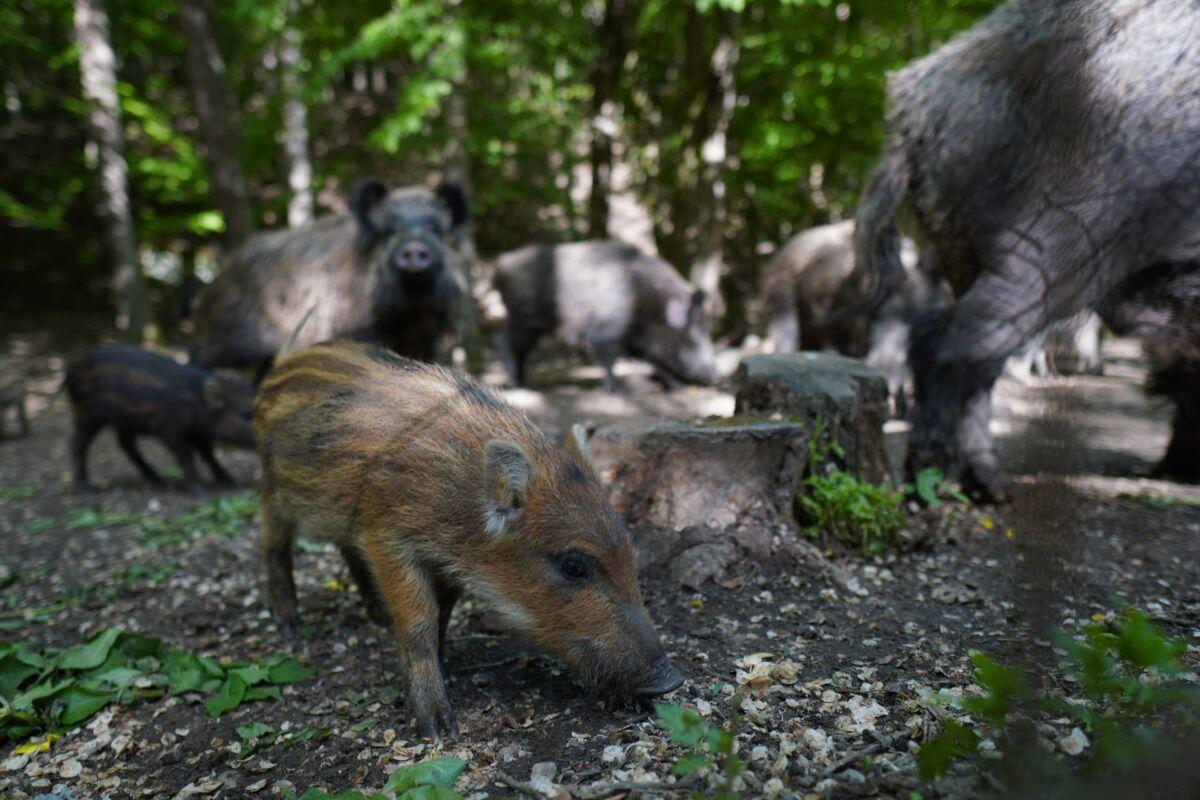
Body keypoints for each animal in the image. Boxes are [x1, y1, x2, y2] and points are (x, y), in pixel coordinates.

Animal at [66, 346, 256, 492]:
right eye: (247, 415)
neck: (196, 402)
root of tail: (70, 373)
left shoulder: (197, 431)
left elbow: (208, 454)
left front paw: (230, 482)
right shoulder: (168, 429)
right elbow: (187, 455)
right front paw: (198, 490)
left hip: (126, 421)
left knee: (126, 444)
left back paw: (158, 481)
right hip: (87, 414)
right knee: (77, 444)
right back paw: (84, 488)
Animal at [190, 180, 470, 376]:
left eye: (435, 228)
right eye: (390, 230)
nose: (414, 248)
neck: (409, 315)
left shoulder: (427, 339)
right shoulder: (356, 330)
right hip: (226, 341)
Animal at [253, 340, 684, 738]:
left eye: (630, 543)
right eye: (573, 565)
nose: (672, 680)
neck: (462, 510)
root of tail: (285, 362)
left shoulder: (443, 560)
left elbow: (442, 612)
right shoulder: (388, 535)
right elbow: (419, 622)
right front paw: (438, 728)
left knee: (344, 548)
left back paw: (375, 614)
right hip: (272, 490)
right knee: (274, 548)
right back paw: (290, 625)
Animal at [493, 240, 719, 392]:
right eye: (693, 332)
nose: (715, 376)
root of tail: (501, 265)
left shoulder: (640, 341)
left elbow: (656, 362)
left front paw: (677, 388)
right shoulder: (607, 330)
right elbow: (609, 359)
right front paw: (615, 391)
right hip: (525, 318)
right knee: (507, 341)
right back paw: (517, 384)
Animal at [853, 0, 1200, 500]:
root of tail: (918, 109)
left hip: (966, 251)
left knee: (977, 361)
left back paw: (990, 488)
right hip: (1055, 243)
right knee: (951, 344)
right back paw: (941, 482)